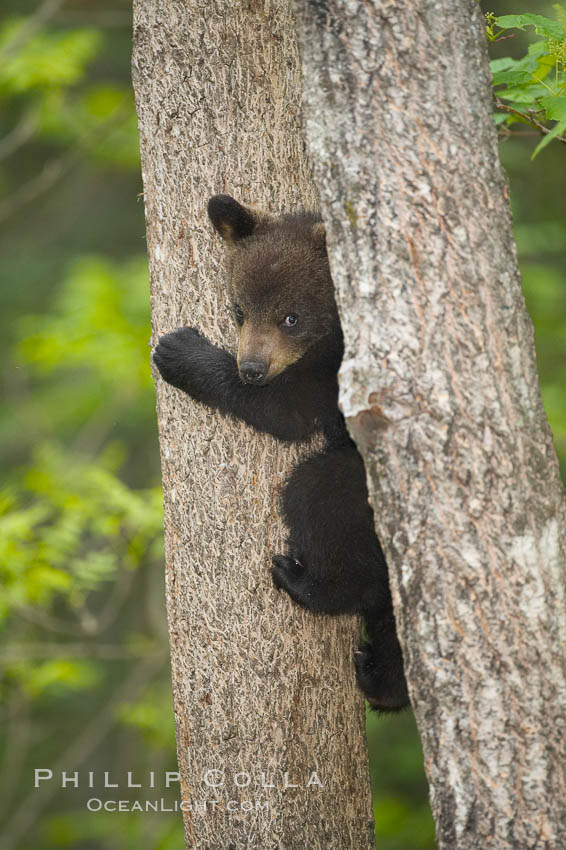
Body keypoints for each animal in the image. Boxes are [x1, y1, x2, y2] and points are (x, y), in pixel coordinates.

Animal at [153, 194, 409, 712]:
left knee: (319, 499)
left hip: (360, 487)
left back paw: (302, 581)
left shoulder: (331, 371)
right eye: (239, 310)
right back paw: (381, 678)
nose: (252, 367)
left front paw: (178, 351)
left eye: (291, 317)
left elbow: (285, 410)